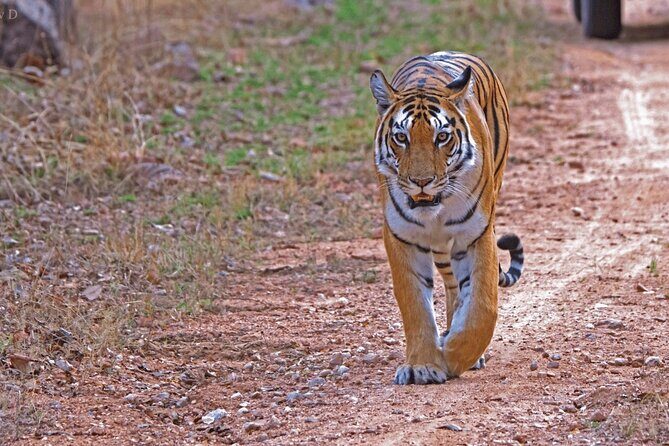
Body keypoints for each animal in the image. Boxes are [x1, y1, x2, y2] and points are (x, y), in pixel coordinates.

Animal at [369, 51, 524, 384]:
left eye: (442, 137)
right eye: (401, 137)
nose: (422, 181)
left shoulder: (477, 234)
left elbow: (483, 306)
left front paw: (455, 356)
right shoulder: (401, 237)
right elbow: (414, 305)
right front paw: (423, 365)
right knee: (453, 287)